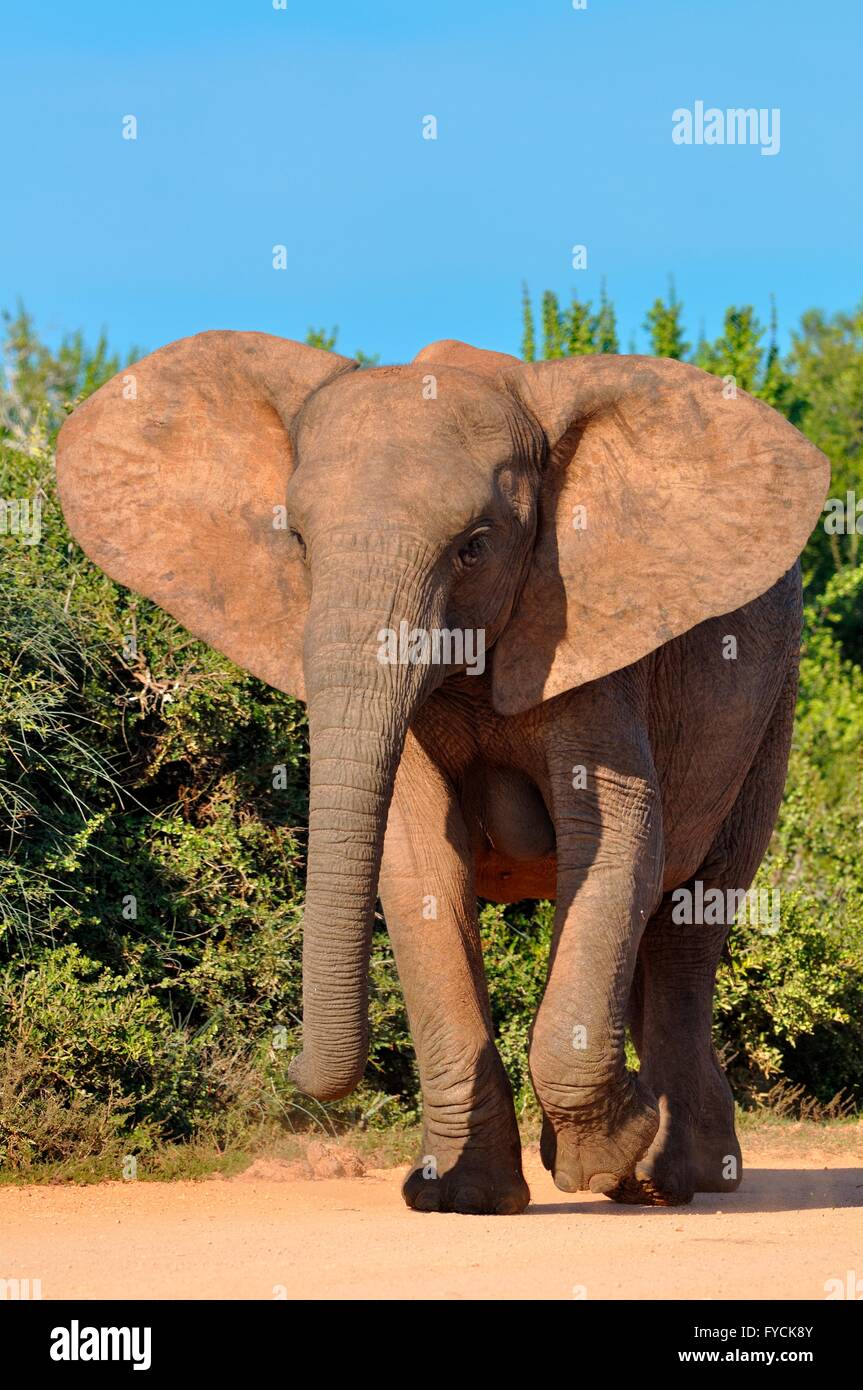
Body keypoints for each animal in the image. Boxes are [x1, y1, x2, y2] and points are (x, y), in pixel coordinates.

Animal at [56, 331, 829, 1214]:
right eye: (297, 543)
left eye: (475, 547)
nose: (294, 1069)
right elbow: (420, 862)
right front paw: (464, 1197)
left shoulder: (590, 641)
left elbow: (617, 840)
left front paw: (604, 1158)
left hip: (772, 708)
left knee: (687, 921)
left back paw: (666, 1180)